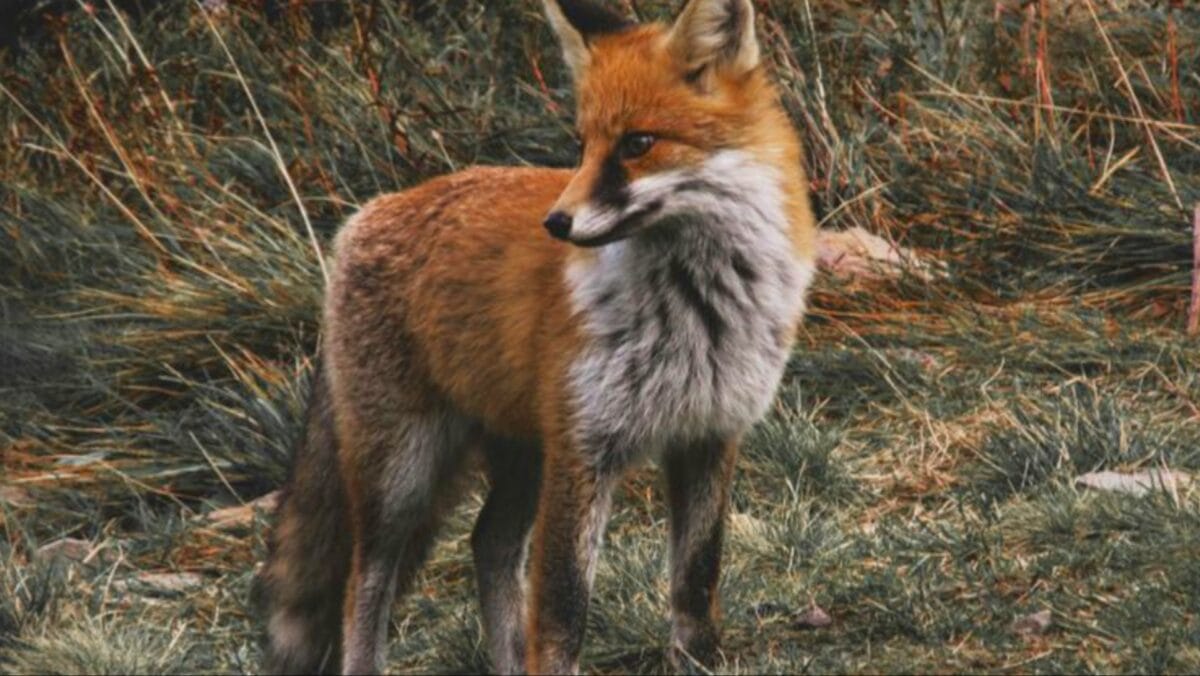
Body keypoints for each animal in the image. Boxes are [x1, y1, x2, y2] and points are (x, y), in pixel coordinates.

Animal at [257, 0, 817, 673]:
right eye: (581, 145)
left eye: (638, 144)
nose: (557, 222)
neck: (696, 309)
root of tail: (366, 214)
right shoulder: (584, 449)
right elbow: (561, 611)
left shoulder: (709, 433)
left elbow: (696, 580)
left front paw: (699, 660)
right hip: (403, 472)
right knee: (365, 579)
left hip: (521, 453)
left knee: (489, 543)